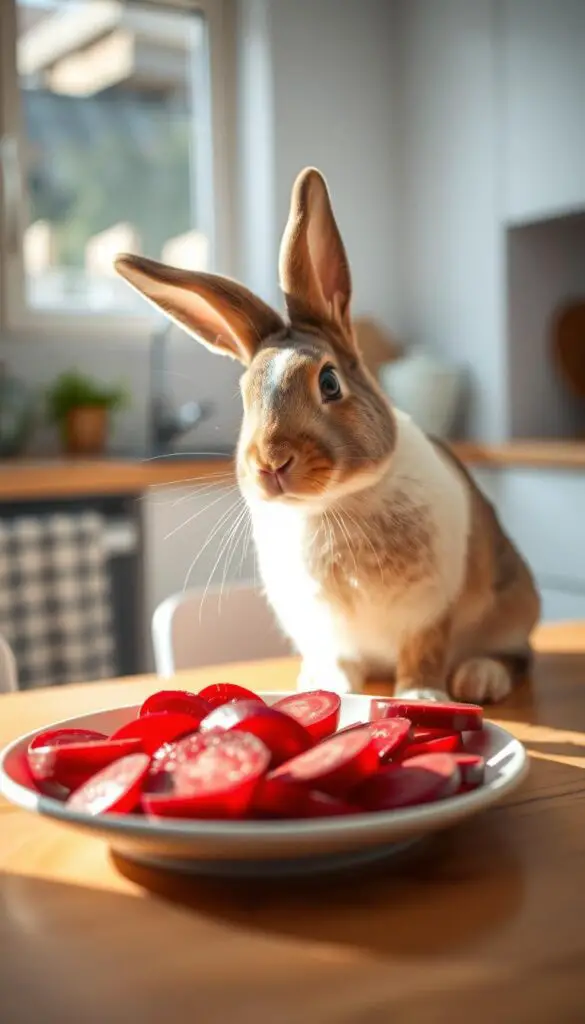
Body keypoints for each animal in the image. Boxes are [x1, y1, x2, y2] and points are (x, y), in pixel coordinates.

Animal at [114, 167, 540, 704]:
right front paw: (330, 687)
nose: (270, 463)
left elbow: (423, 653)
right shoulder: (327, 628)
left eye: (330, 382)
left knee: (519, 655)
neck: (335, 503)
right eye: (244, 394)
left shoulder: (429, 614)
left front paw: (421, 697)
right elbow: (340, 660)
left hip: (514, 604)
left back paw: (480, 677)